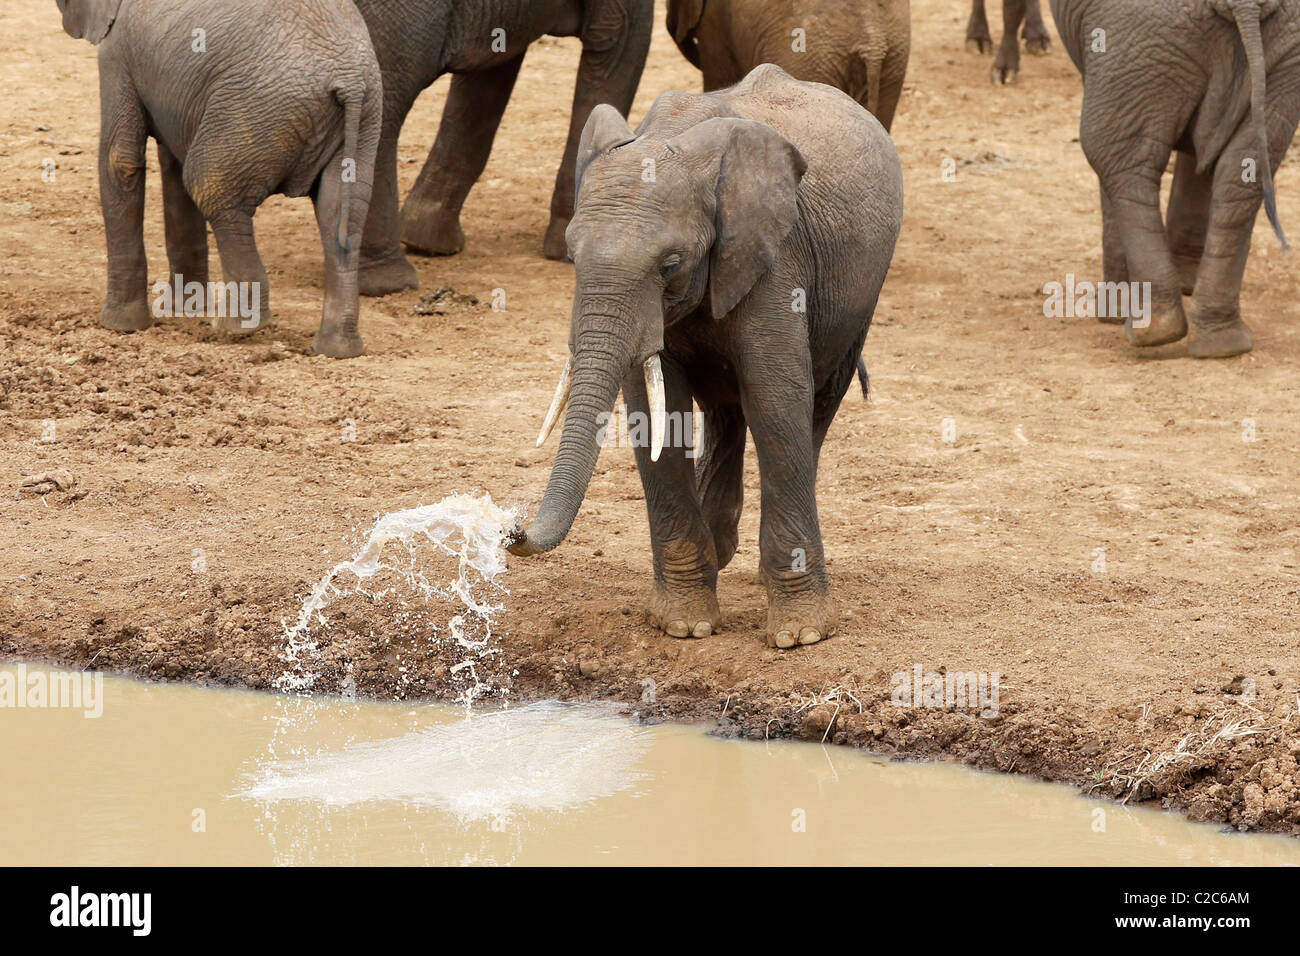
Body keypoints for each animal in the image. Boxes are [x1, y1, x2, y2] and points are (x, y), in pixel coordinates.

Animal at [55, 0, 382, 358]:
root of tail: (349, 81)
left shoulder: (117, 55)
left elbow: (121, 161)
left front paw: (119, 326)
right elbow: (171, 166)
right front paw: (184, 309)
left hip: (255, 109)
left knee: (207, 182)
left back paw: (238, 329)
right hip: (366, 115)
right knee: (339, 215)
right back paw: (337, 349)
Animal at [352, 0, 654, 296]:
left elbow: (492, 70)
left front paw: (425, 241)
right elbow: (622, 40)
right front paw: (568, 249)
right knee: (384, 105)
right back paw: (390, 282)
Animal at [507, 65, 904, 649]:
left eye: (671, 264)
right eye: (572, 256)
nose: (511, 528)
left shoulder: (775, 259)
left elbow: (775, 399)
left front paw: (800, 636)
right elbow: (654, 411)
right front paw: (684, 625)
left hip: (861, 292)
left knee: (816, 399)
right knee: (725, 408)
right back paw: (720, 551)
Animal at [1052, 0, 1300, 357]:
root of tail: (1244, 3)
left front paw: (1115, 313)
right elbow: (1204, 156)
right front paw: (1187, 284)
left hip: (1137, 43)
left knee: (1117, 159)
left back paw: (1152, 330)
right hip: (1283, 57)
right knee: (1239, 175)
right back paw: (1222, 344)